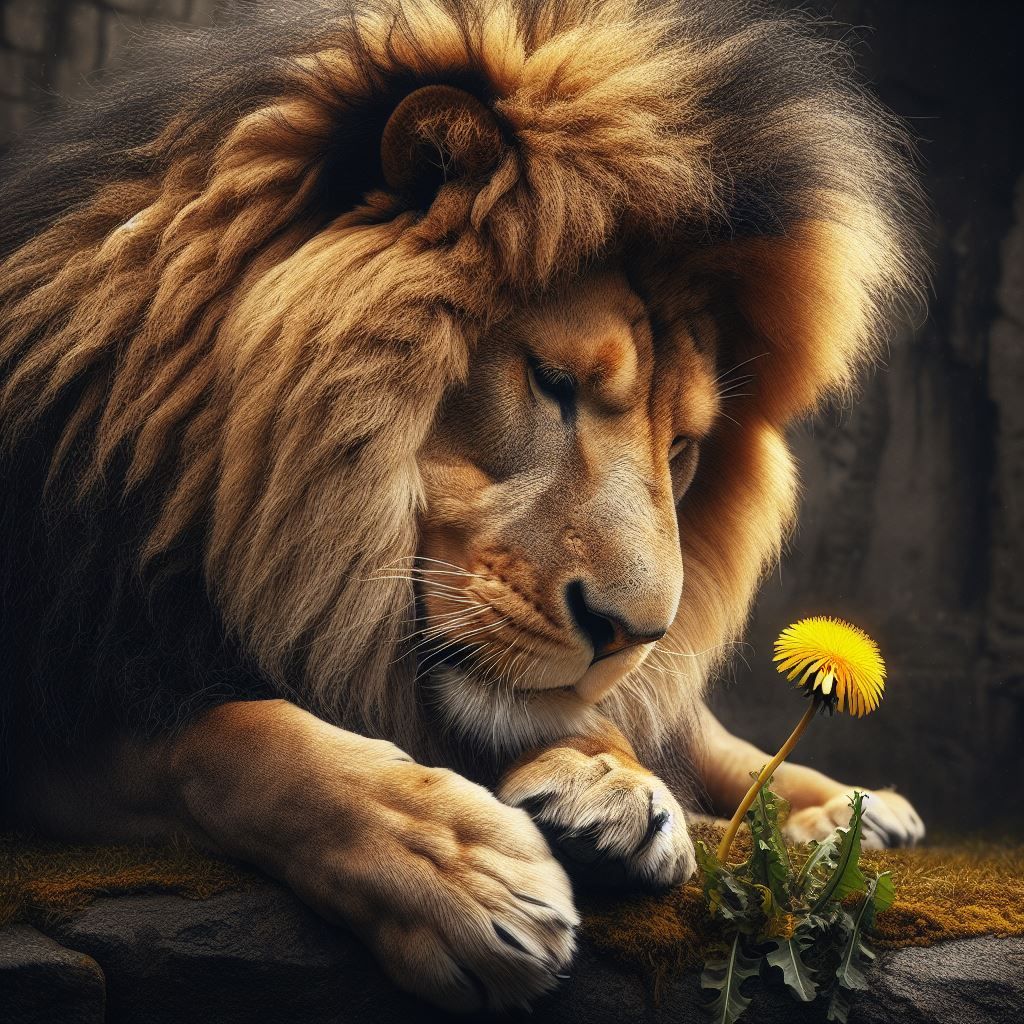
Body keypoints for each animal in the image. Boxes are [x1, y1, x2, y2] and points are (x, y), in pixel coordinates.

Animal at [0, 0, 927, 1012]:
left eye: (681, 450)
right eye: (552, 382)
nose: (632, 635)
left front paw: (607, 780)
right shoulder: (68, 678)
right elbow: (231, 741)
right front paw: (461, 872)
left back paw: (851, 813)